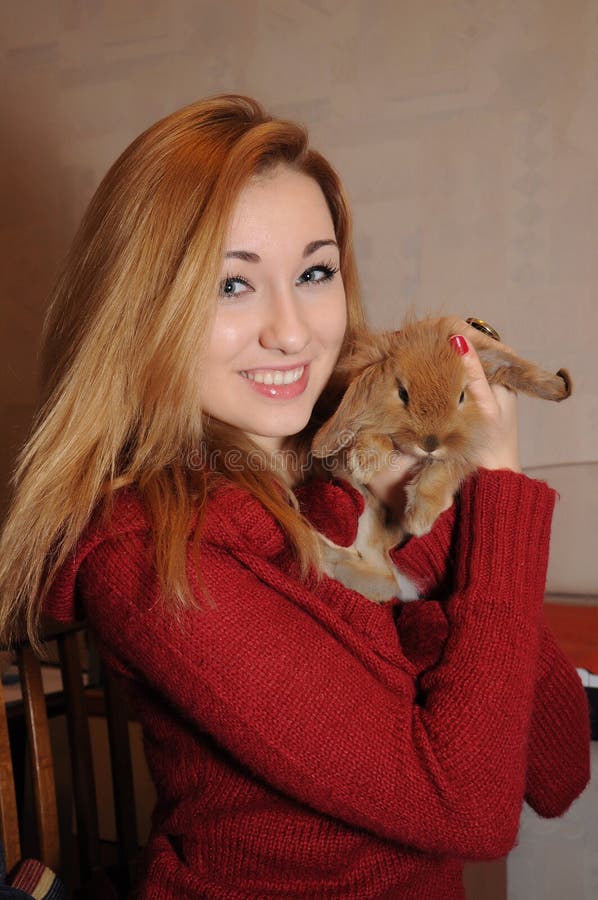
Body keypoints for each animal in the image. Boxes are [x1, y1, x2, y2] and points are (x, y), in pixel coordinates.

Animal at [310, 315, 572, 603]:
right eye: (403, 393)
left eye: (462, 396)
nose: (430, 443)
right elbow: (372, 430)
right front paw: (366, 462)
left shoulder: (466, 450)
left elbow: (441, 471)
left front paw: (419, 519)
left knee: (382, 579)